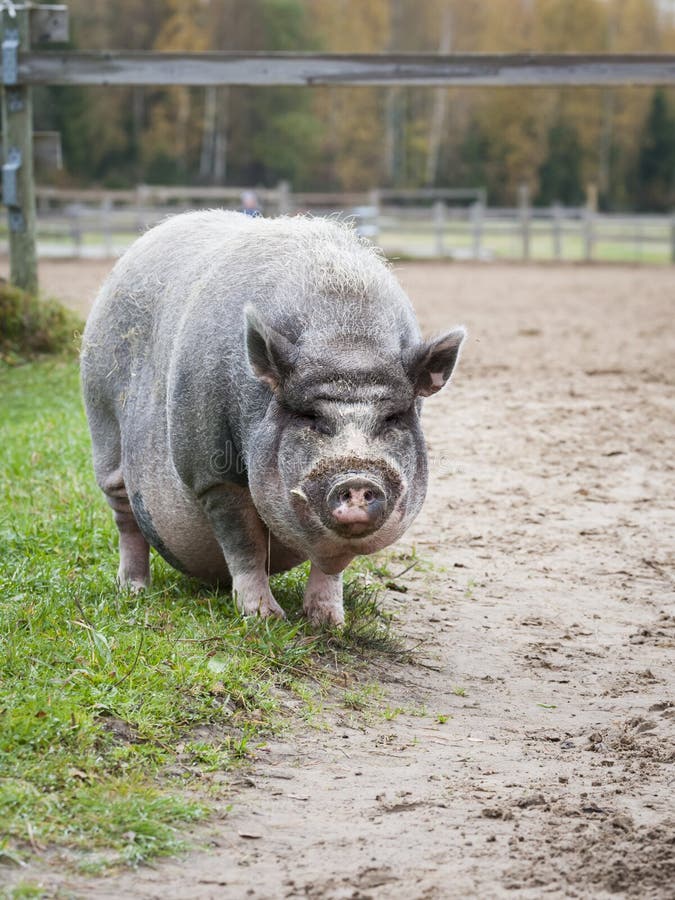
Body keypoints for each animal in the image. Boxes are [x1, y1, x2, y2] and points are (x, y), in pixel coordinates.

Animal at [81, 211, 465, 626]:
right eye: (309, 416)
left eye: (392, 418)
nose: (358, 479)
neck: (345, 342)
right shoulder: (214, 476)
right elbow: (245, 546)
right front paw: (265, 618)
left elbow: (331, 567)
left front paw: (329, 623)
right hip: (103, 428)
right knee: (125, 520)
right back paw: (133, 590)